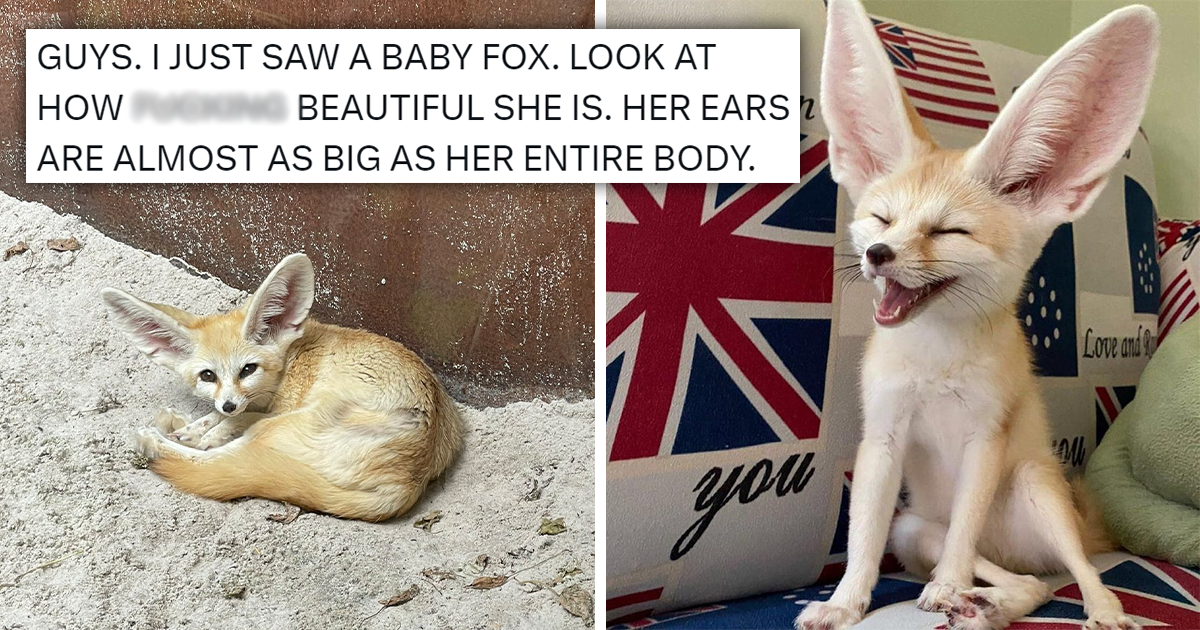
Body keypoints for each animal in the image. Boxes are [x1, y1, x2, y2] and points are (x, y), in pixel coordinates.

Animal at [101, 253, 464, 522]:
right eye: (208, 376)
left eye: (248, 369)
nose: (229, 404)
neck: (292, 358)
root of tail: (410, 481)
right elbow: (220, 417)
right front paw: (197, 424)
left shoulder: (273, 409)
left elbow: (234, 423)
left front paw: (207, 429)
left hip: (275, 430)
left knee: (218, 462)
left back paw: (156, 441)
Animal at [795, 2, 1158, 630]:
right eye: (882, 220)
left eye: (949, 231)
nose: (877, 254)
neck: (936, 359)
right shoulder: (882, 439)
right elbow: (862, 541)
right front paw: (844, 603)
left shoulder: (985, 440)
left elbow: (964, 534)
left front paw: (939, 591)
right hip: (914, 529)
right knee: (1025, 584)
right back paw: (982, 603)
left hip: (1037, 491)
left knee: (1075, 571)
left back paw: (1093, 609)